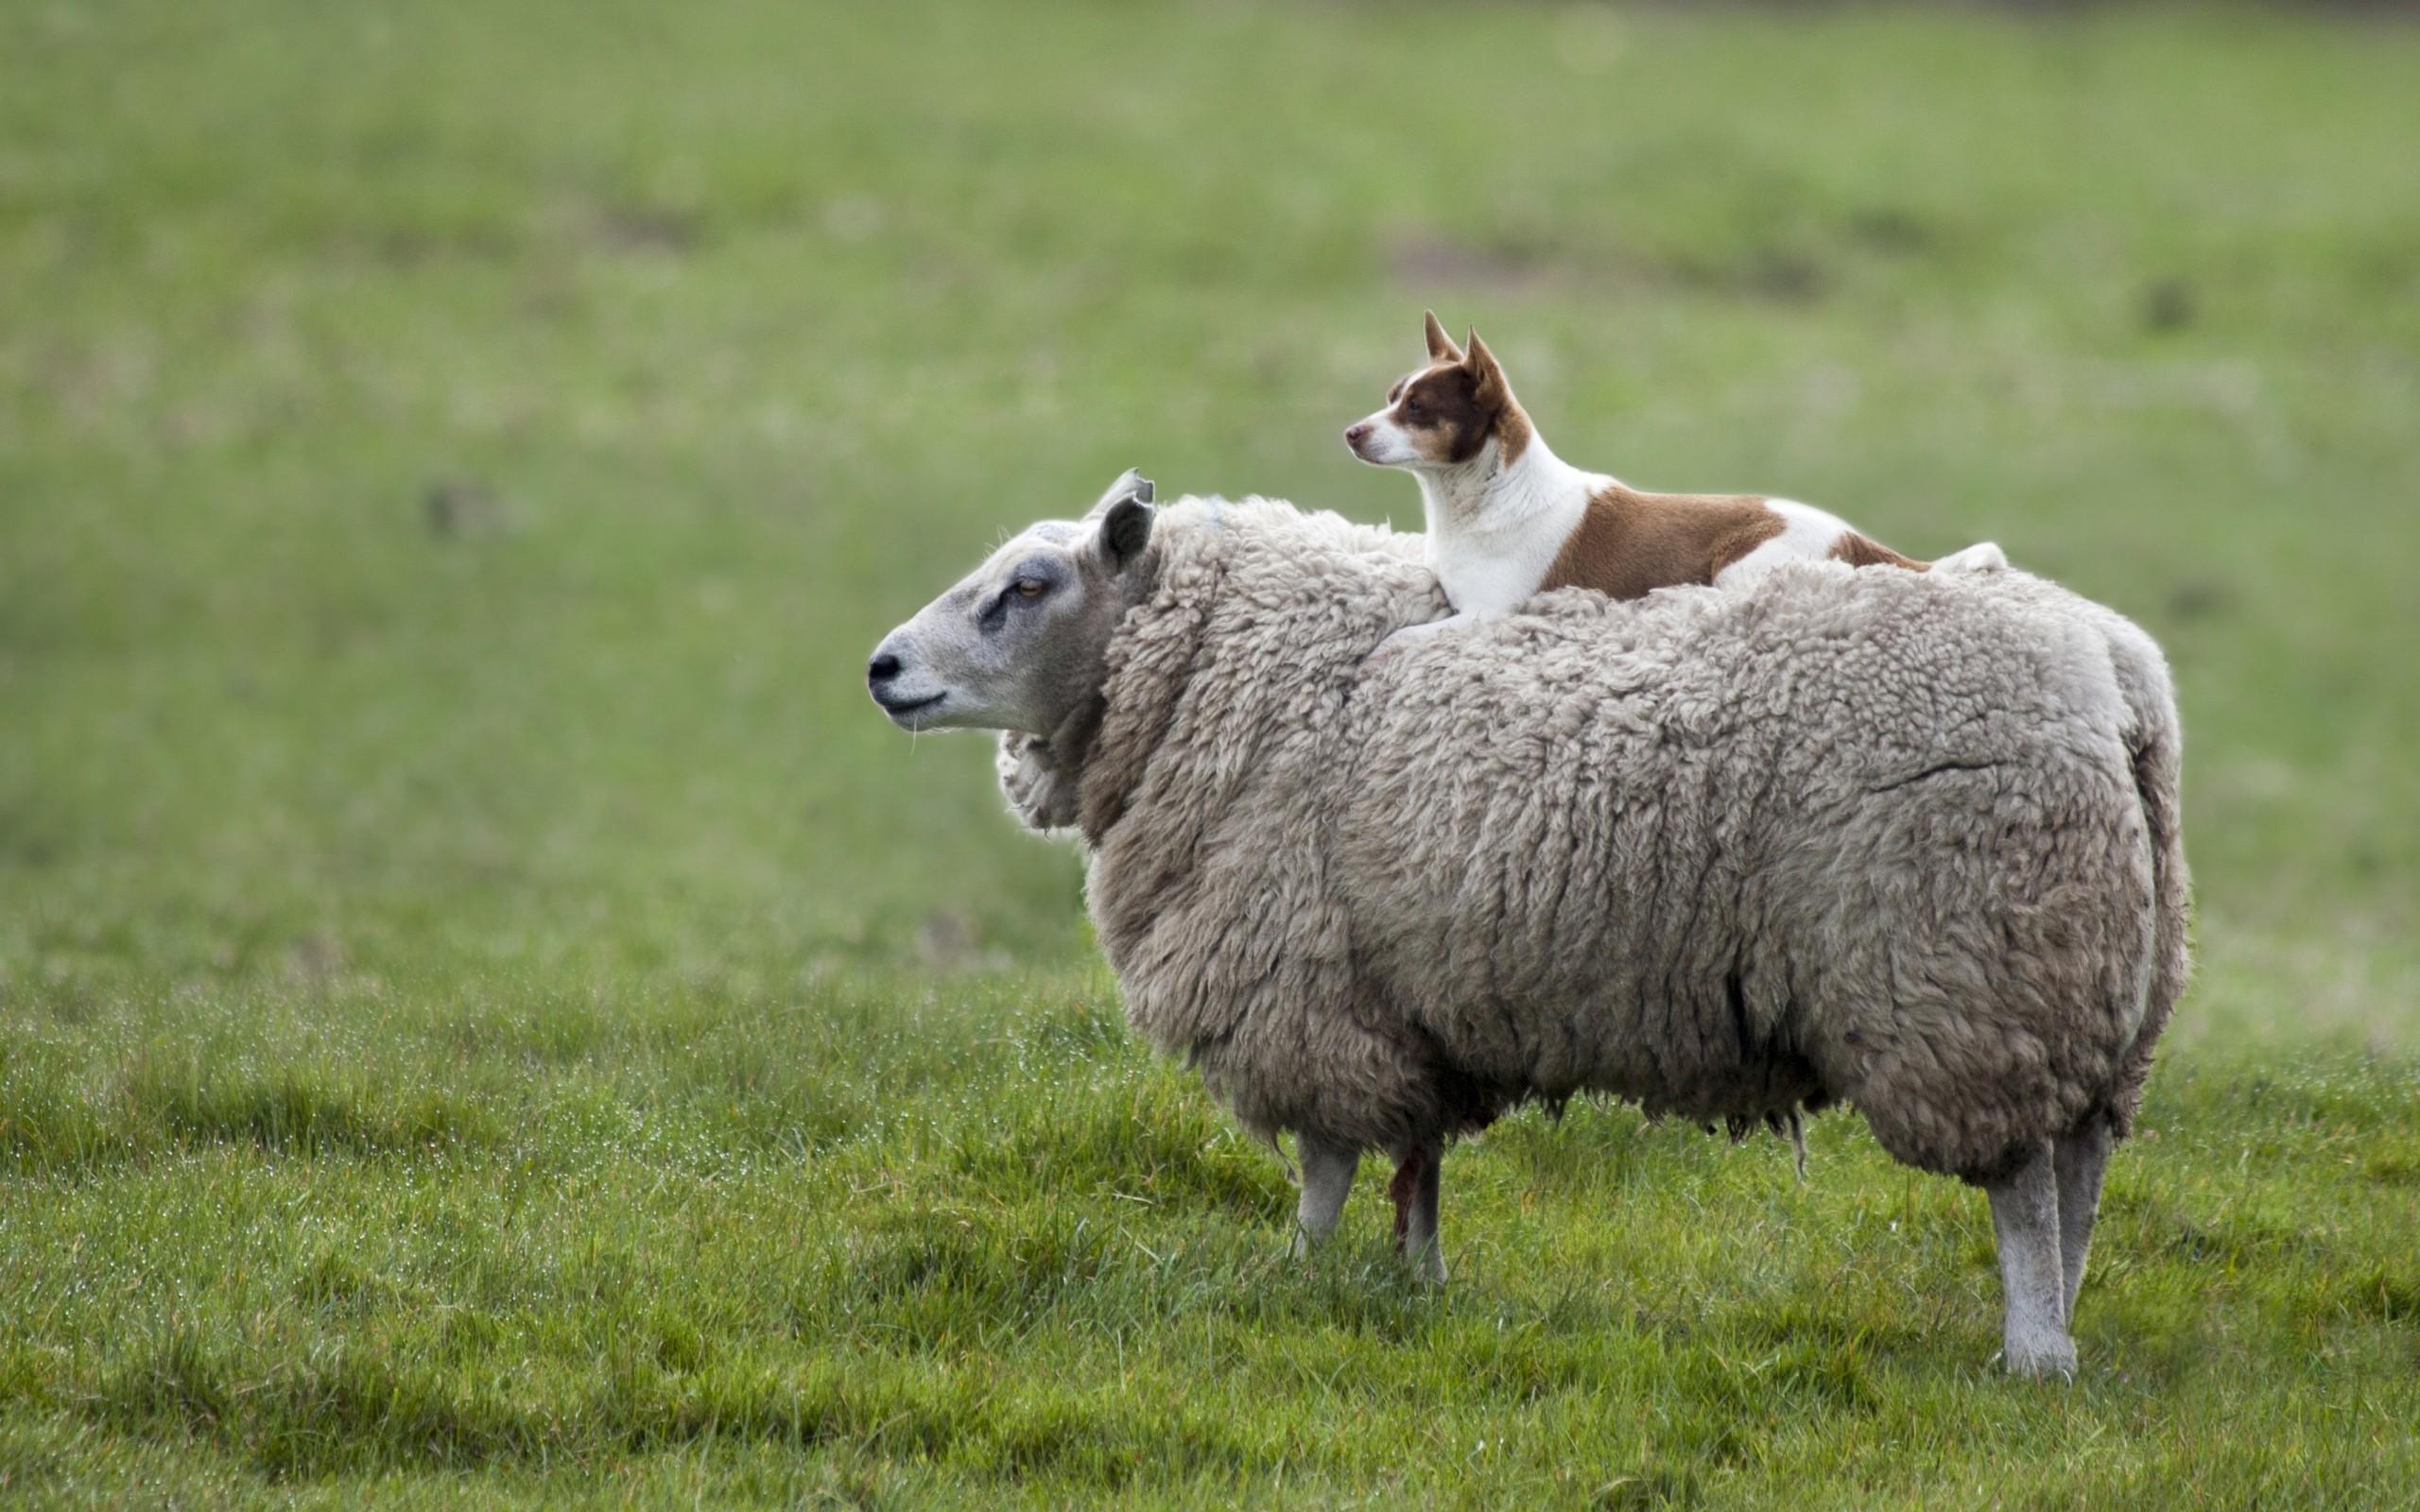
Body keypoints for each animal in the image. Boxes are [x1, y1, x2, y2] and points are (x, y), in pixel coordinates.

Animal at [866, 474, 2190, 1377]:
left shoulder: (1302, 987)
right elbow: (1419, 1164)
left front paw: (1297, 1276)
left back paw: (2031, 1352)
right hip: (2099, 979)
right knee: (2079, 1166)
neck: (1223, 671)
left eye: (1027, 587)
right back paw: (2064, 1319)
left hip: (1971, 971)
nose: (882, 667)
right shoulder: (1407, 998)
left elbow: (1326, 1165)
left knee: (2021, 1181)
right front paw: (1416, 1288)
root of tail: (2112, 674)